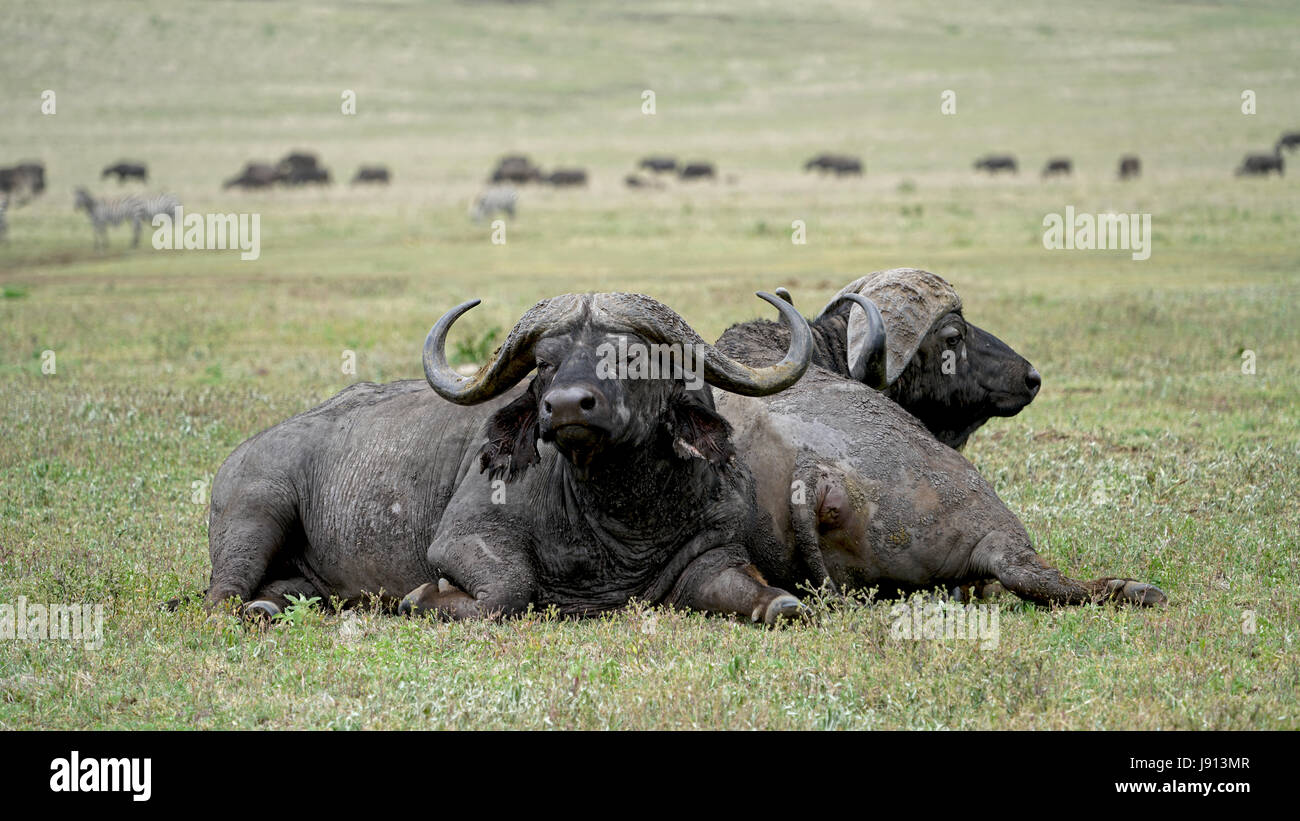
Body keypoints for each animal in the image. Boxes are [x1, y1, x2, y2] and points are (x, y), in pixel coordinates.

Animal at [205, 293, 815, 625]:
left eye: (631, 357)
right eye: (545, 363)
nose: (565, 405)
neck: (619, 519)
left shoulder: (714, 555)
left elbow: (772, 601)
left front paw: (780, 603)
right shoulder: (461, 539)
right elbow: (508, 590)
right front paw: (421, 597)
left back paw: (270, 607)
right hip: (255, 514)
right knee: (220, 596)